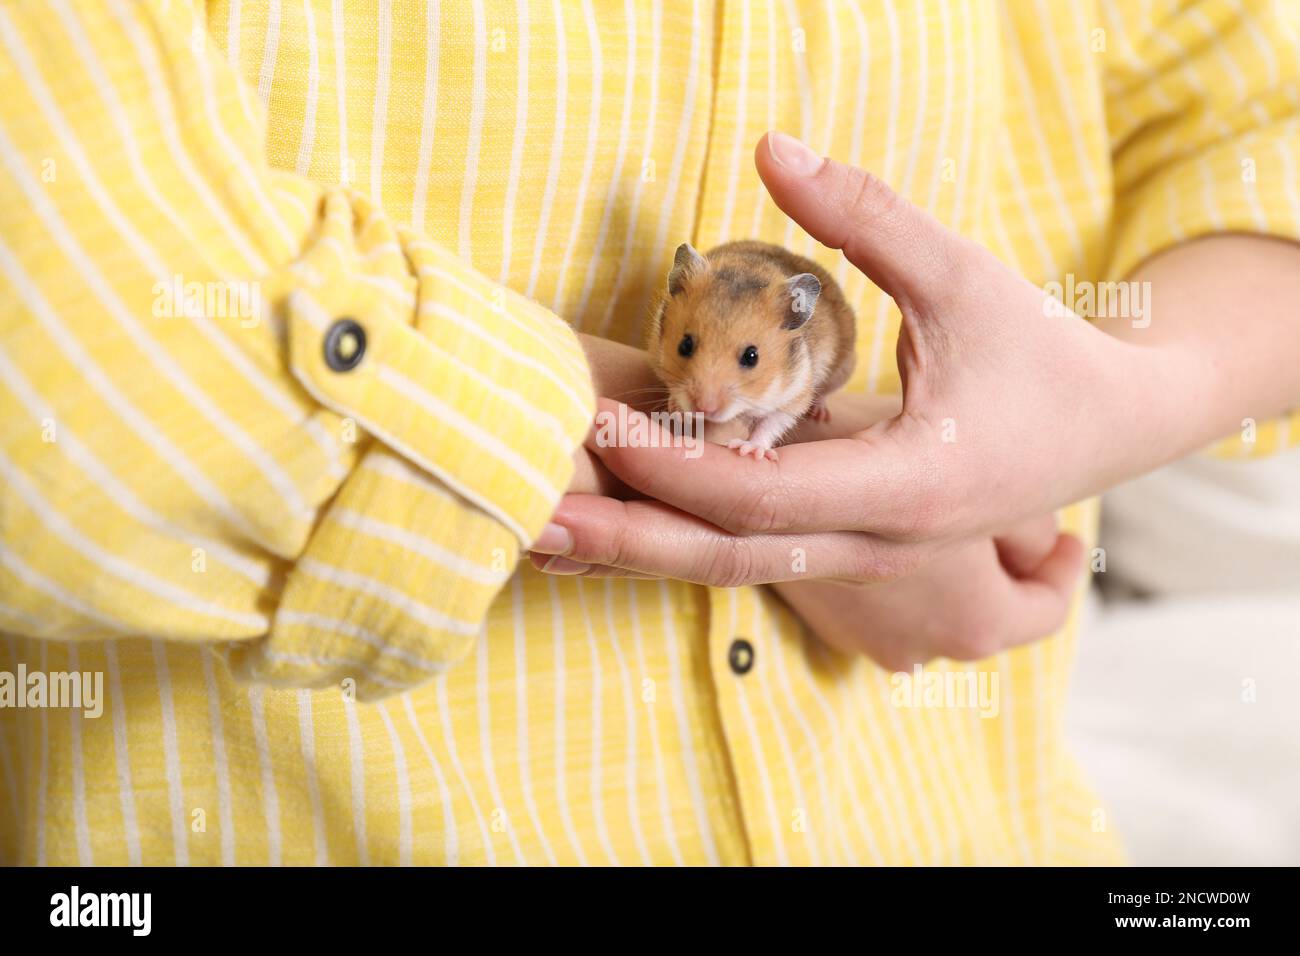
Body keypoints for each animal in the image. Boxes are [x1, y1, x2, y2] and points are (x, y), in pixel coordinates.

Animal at [647, 239, 857, 461]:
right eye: (685, 345)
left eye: (751, 357)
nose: (703, 408)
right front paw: (677, 411)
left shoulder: (795, 394)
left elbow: (771, 424)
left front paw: (748, 450)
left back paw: (820, 413)